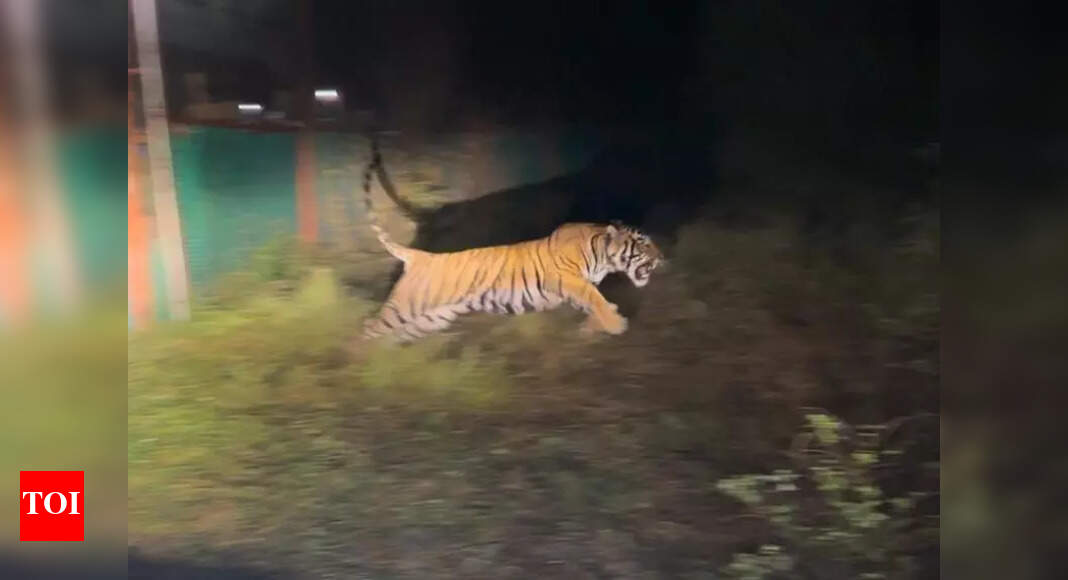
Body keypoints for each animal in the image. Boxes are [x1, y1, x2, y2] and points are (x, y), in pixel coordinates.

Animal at [360, 137, 664, 342]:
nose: (661, 256)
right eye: (644, 243)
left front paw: (596, 323)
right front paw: (612, 321)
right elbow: (593, 296)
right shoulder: (568, 273)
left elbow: (594, 301)